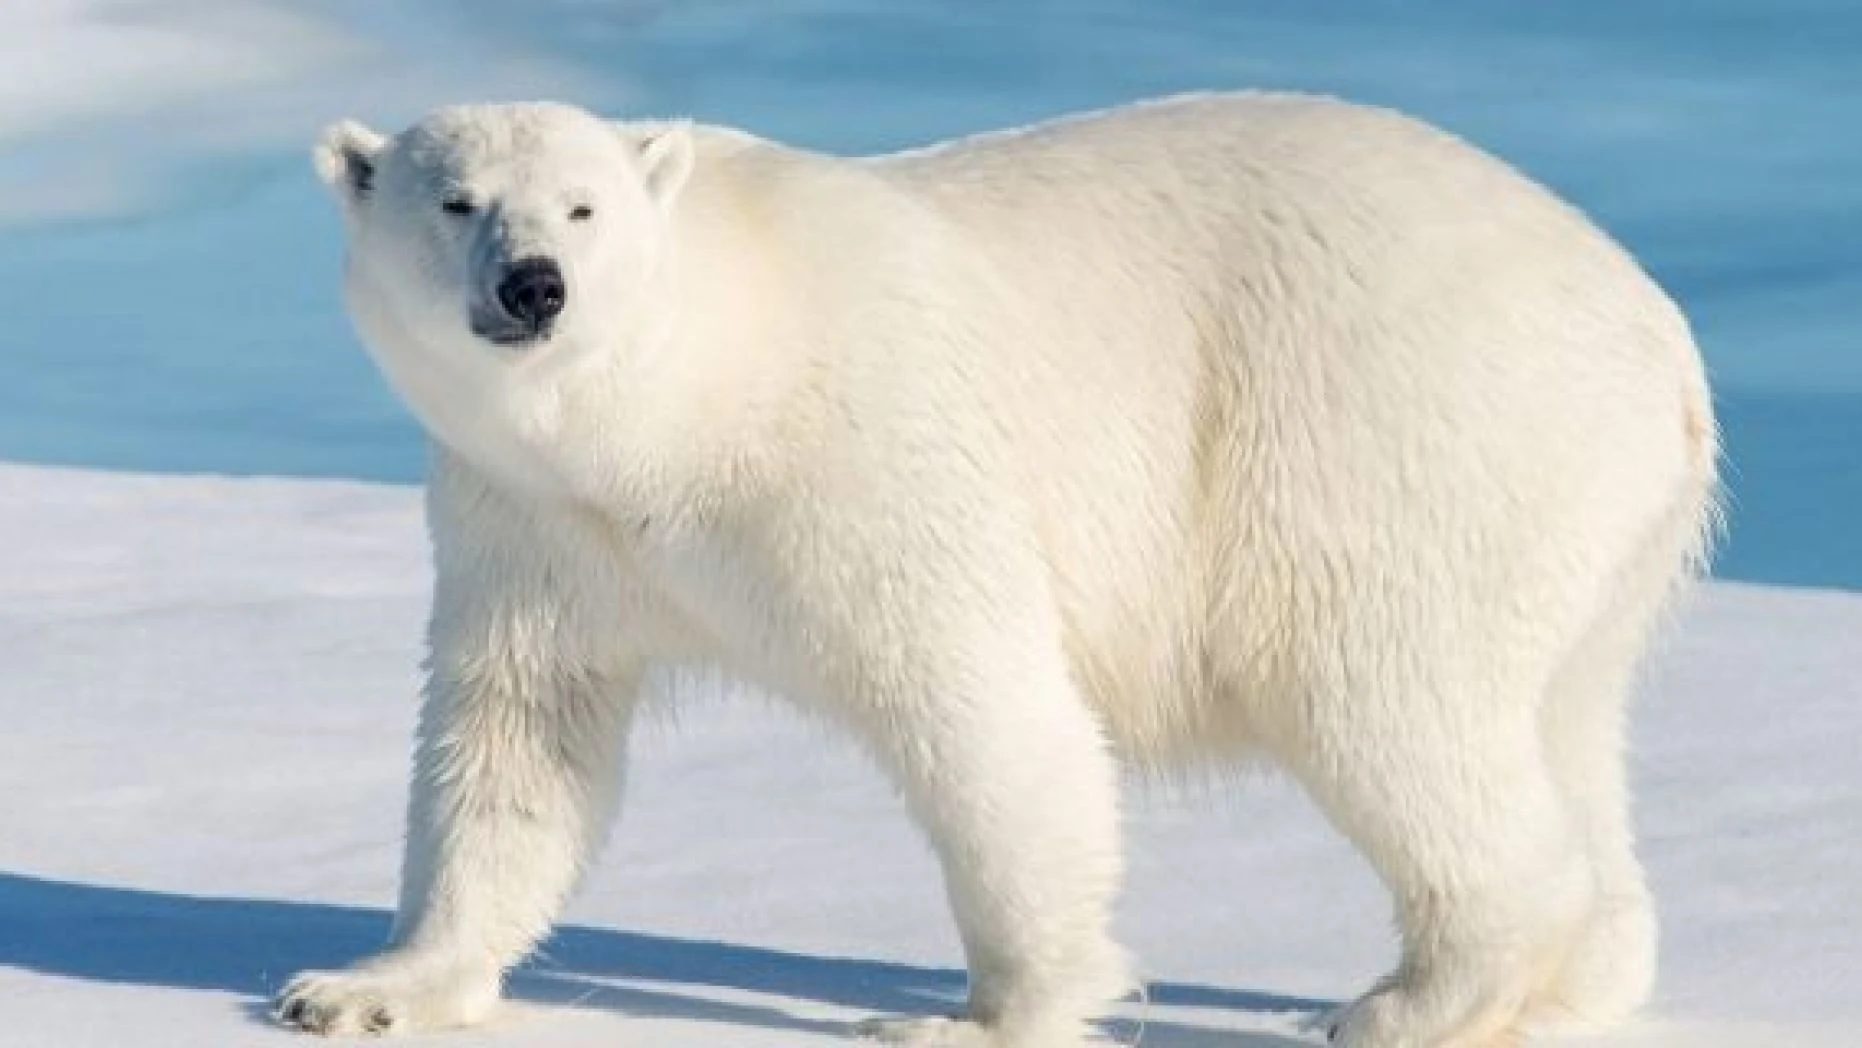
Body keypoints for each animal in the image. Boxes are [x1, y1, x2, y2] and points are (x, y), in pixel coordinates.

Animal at [277, 93, 1719, 1047]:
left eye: (584, 207)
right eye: (455, 201)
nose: (535, 285)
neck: (684, 399)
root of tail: (1661, 344)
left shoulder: (862, 453)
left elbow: (982, 708)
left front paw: (979, 1019)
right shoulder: (535, 522)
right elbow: (518, 739)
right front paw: (364, 986)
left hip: (1393, 435)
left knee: (1382, 698)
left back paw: (1406, 1001)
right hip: (1583, 525)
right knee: (1559, 720)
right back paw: (1577, 983)